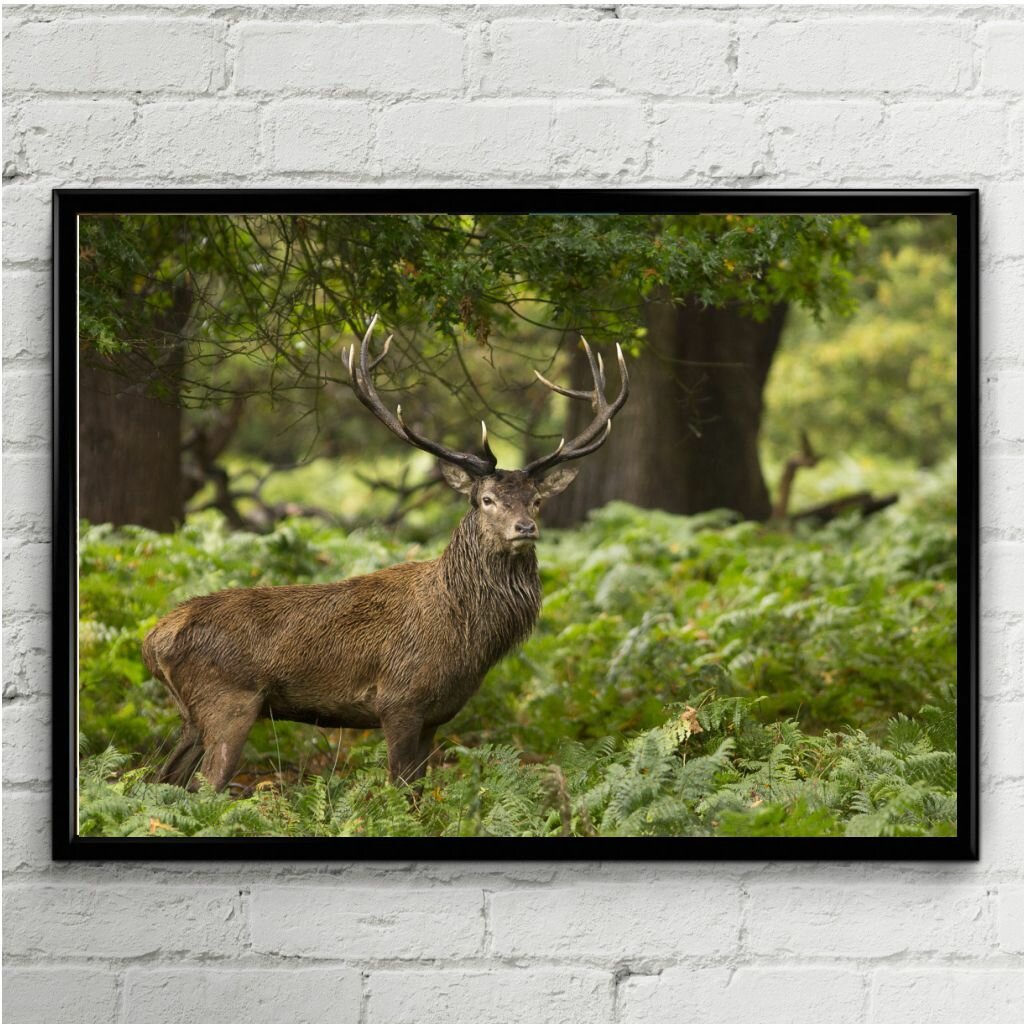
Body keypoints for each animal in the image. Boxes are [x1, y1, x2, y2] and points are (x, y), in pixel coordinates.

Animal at [142, 317, 629, 791]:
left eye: (536, 499)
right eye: (486, 499)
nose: (525, 528)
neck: (468, 636)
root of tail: (153, 639)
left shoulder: (436, 716)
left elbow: (420, 794)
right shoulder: (399, 701)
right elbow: (398, 790)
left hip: (193, 715)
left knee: (163, 781)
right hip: (229, 702)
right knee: (206, 787)